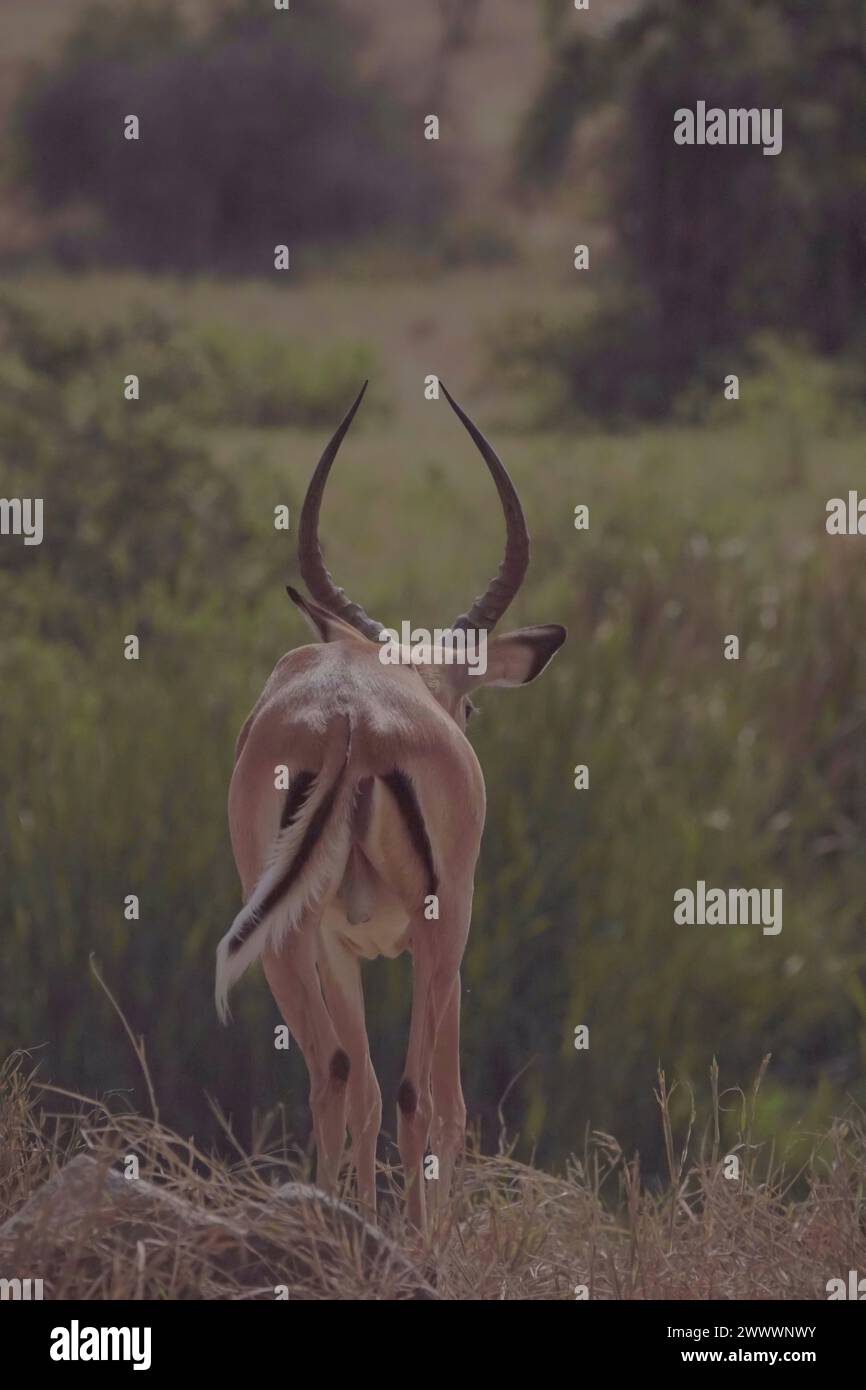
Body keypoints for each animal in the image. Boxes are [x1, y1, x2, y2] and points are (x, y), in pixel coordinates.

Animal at [215, 384, 566, 1230]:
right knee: (414, 1094)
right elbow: (445, 1100)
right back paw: (412, 1234)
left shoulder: (340, 948)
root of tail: (351, 716)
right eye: (470, 706)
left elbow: (363, 1084)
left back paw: (329, 1221)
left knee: (336, 1075)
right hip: (435, 933)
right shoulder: (452, 943)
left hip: (283, 934)